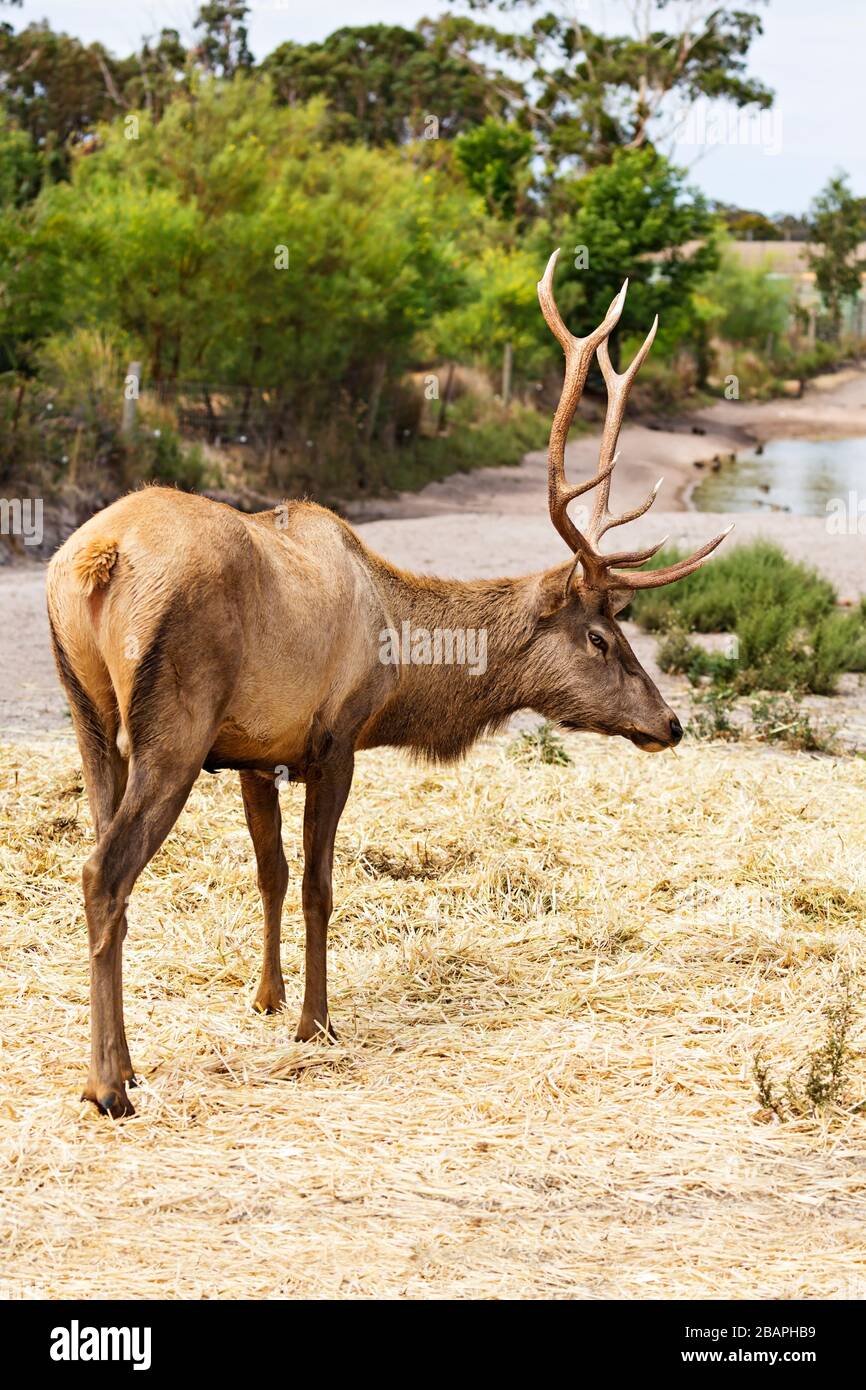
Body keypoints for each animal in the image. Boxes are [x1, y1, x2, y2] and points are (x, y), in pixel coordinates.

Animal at [46, 251, 731, 1117]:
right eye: (602, 637)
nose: (670, 723)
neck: (402, 663)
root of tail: (95, 563)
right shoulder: (336, 736)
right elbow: (318, 885)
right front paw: (316, 1021)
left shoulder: (254, 751)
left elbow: (270, 874)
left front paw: (266, 998)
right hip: (174, 721)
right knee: (104, 871)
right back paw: (108, 1085)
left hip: (88, 712)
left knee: (107, 860)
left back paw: (127, 1064)